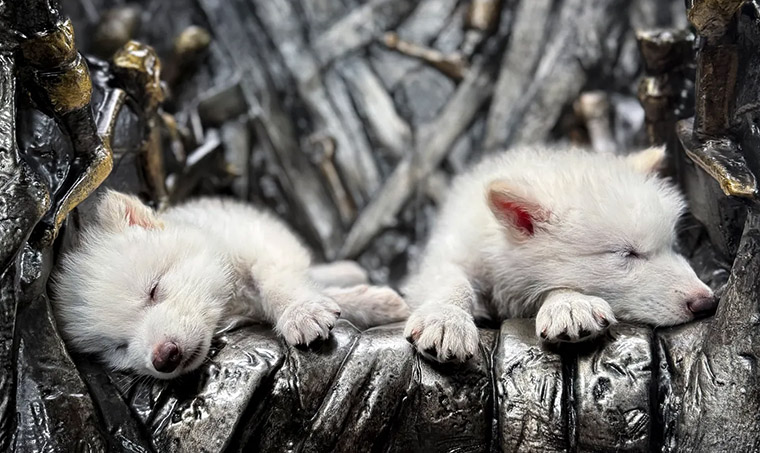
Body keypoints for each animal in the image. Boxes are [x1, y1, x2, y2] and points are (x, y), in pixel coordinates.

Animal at [52, 191, 408, 379]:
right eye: (119, 347)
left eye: (153, 290)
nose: (163, 357)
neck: (229, 301)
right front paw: (372, 304)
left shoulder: (262, 245)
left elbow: (277, 281)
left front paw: (301, 311)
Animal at [403, 145, 717, 362]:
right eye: (626, 253)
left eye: (671, 247)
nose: (708, 303)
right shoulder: (450, 252)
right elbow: (453, 280)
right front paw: (445, 319)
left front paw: (569, 304)